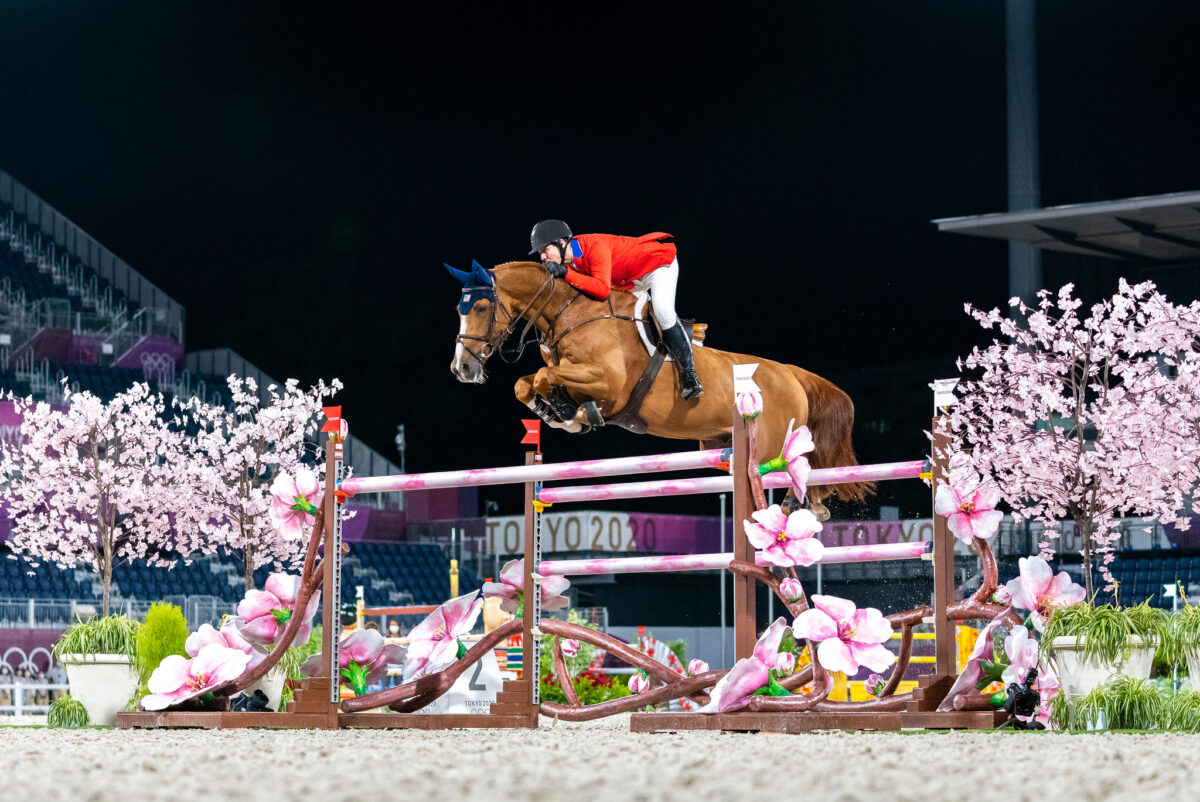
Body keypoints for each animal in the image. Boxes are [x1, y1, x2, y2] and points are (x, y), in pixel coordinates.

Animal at [447, 259, 870, 508]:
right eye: (458, 309)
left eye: (480, 307)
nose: (462, 368)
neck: (571, 311)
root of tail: (791, 373)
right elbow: (526, 383)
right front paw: (560, 412)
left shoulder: (608, 383)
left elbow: (544, 376)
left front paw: (571, 413)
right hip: (721, 446)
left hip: (768, 445)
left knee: (798, 467)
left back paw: (806, 505)